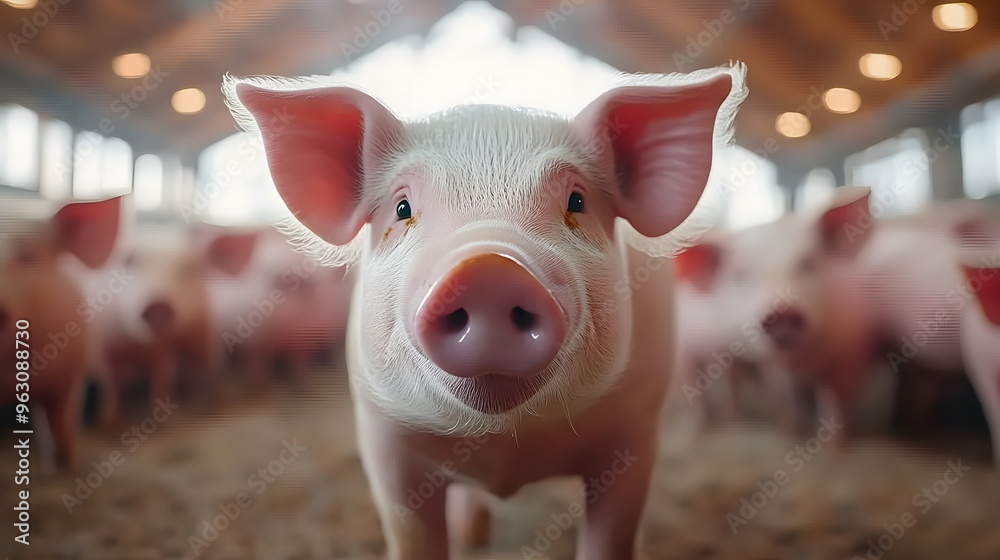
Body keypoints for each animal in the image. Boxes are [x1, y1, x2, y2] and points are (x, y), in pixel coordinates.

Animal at [225, 62, 748, 560]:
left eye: (577, 201)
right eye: (402, 208)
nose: (489, 268)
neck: (506, 446)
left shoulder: (636, 431)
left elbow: (612, 536)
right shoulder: (384, 436)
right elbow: (412, 537)